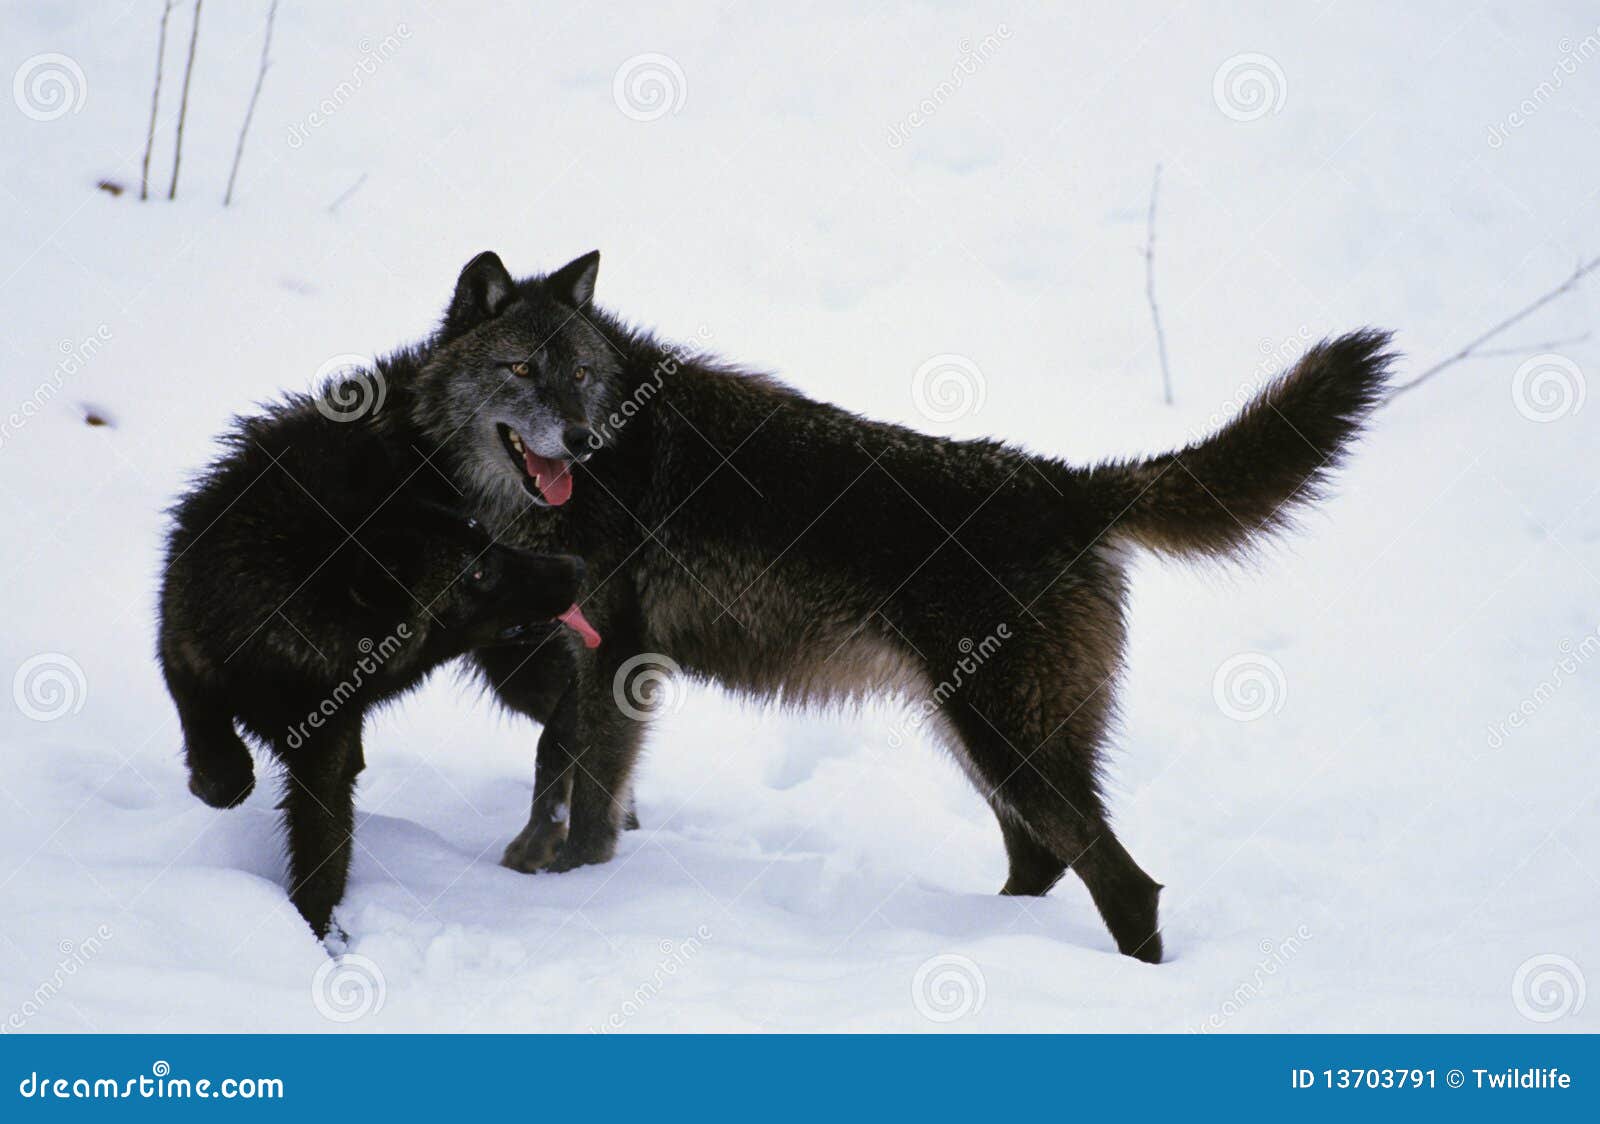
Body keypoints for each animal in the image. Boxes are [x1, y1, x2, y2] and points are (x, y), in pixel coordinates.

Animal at [158, 385, 597, 937]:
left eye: (486, 537)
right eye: (476, 573)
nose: (575, 567)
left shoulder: (324, 761)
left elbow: (322, 864)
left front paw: (317, 937)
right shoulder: (182, 650)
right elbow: (211, 748)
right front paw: (221, 778)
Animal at [403, 249, 1393, 963]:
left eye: (581, 374)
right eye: (522, 368)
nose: (578, 438)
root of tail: (1069, 485)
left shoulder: (618, 663)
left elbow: (592, 806)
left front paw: (576, 894)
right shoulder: (586, 660)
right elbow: (555, 764)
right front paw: (533, 863)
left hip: (1006, 741)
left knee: (1125, 883)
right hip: (978, 740)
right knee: (1043, 861)